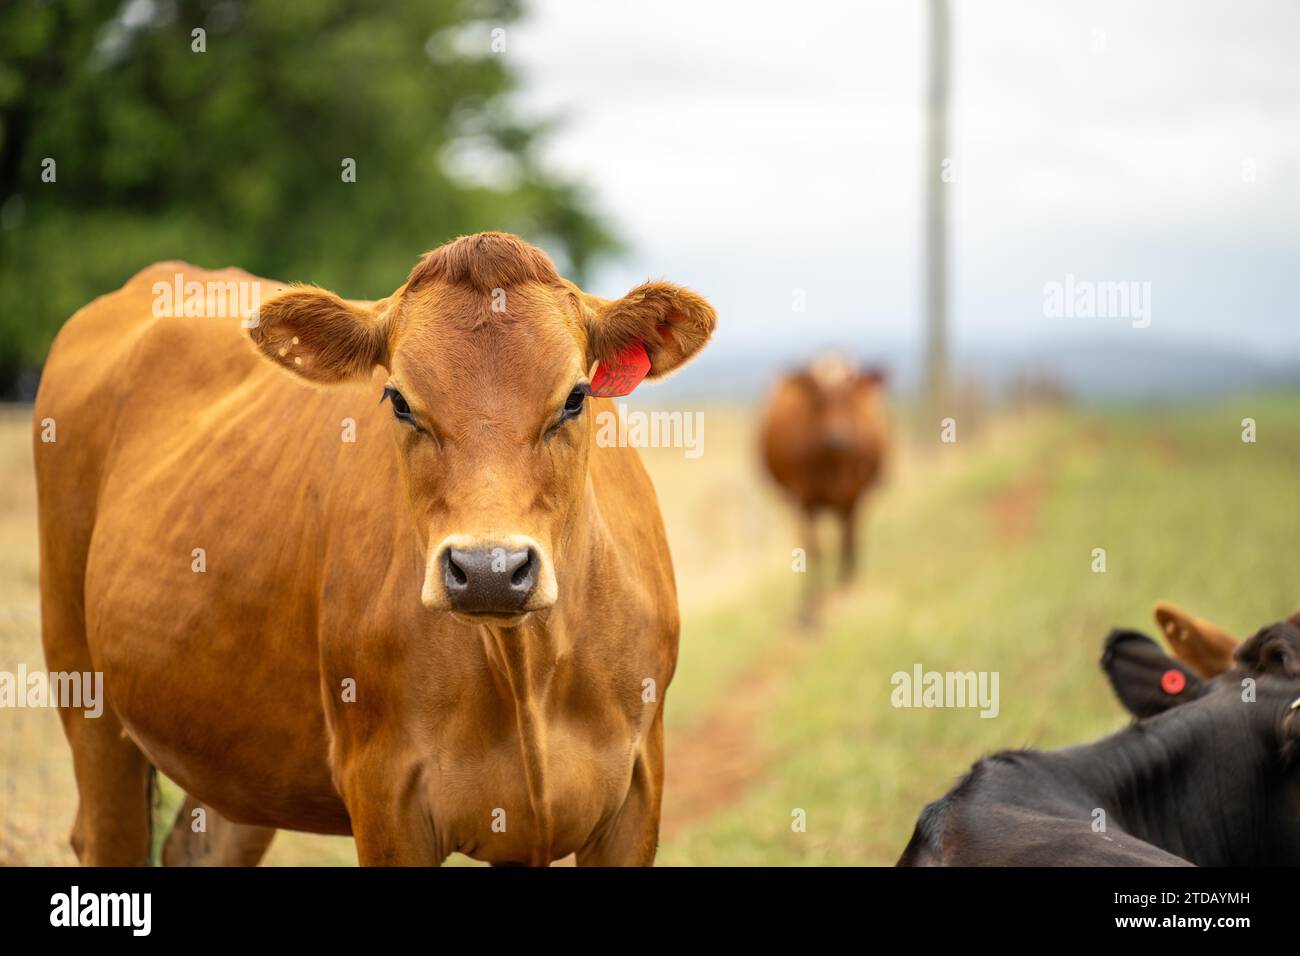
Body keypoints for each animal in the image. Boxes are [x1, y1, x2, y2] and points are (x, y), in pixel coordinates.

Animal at [33, 232, 717, 866]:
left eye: (576, 397)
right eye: (399, 400)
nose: (489, 571)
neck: (529, 671)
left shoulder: (635, 795)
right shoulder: (385, 795)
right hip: (84, 692)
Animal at [758, 356, 888, 622]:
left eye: (849, 399)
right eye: (818, 400)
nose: (837, 440)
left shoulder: (853, 497)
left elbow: (847, 543)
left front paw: (845, 593)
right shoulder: (804, 500)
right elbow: (813, 552)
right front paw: (810, 611)